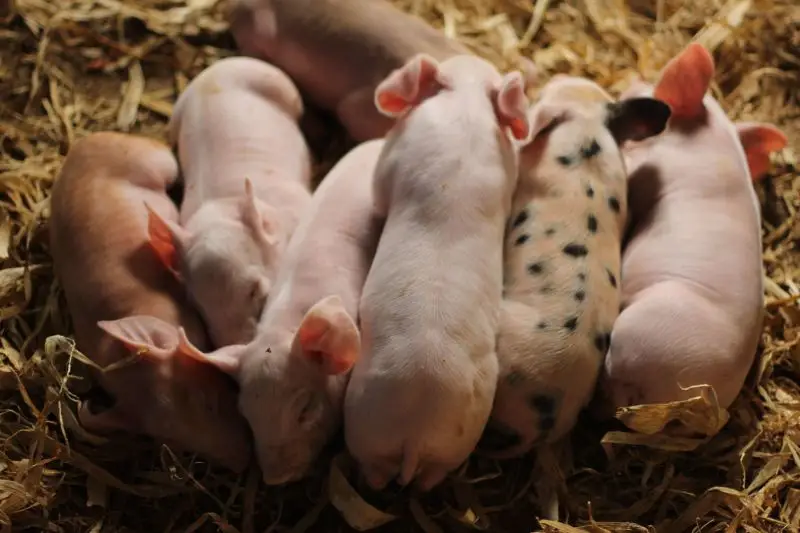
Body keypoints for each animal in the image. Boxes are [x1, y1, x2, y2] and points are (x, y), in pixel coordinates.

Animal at [147, 56, 313, 347]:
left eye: (256, 290)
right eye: (199, 307)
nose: (232, 346)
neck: (225, 203)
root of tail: (215, 68)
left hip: (281, 84)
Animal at [342, 53, 534, 492]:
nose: (470, 55)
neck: (466, 101)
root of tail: (416, 431)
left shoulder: (392, 158)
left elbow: (379, 192)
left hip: (364, 421)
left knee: (374, 474)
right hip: (458, 438)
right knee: (432, 477)